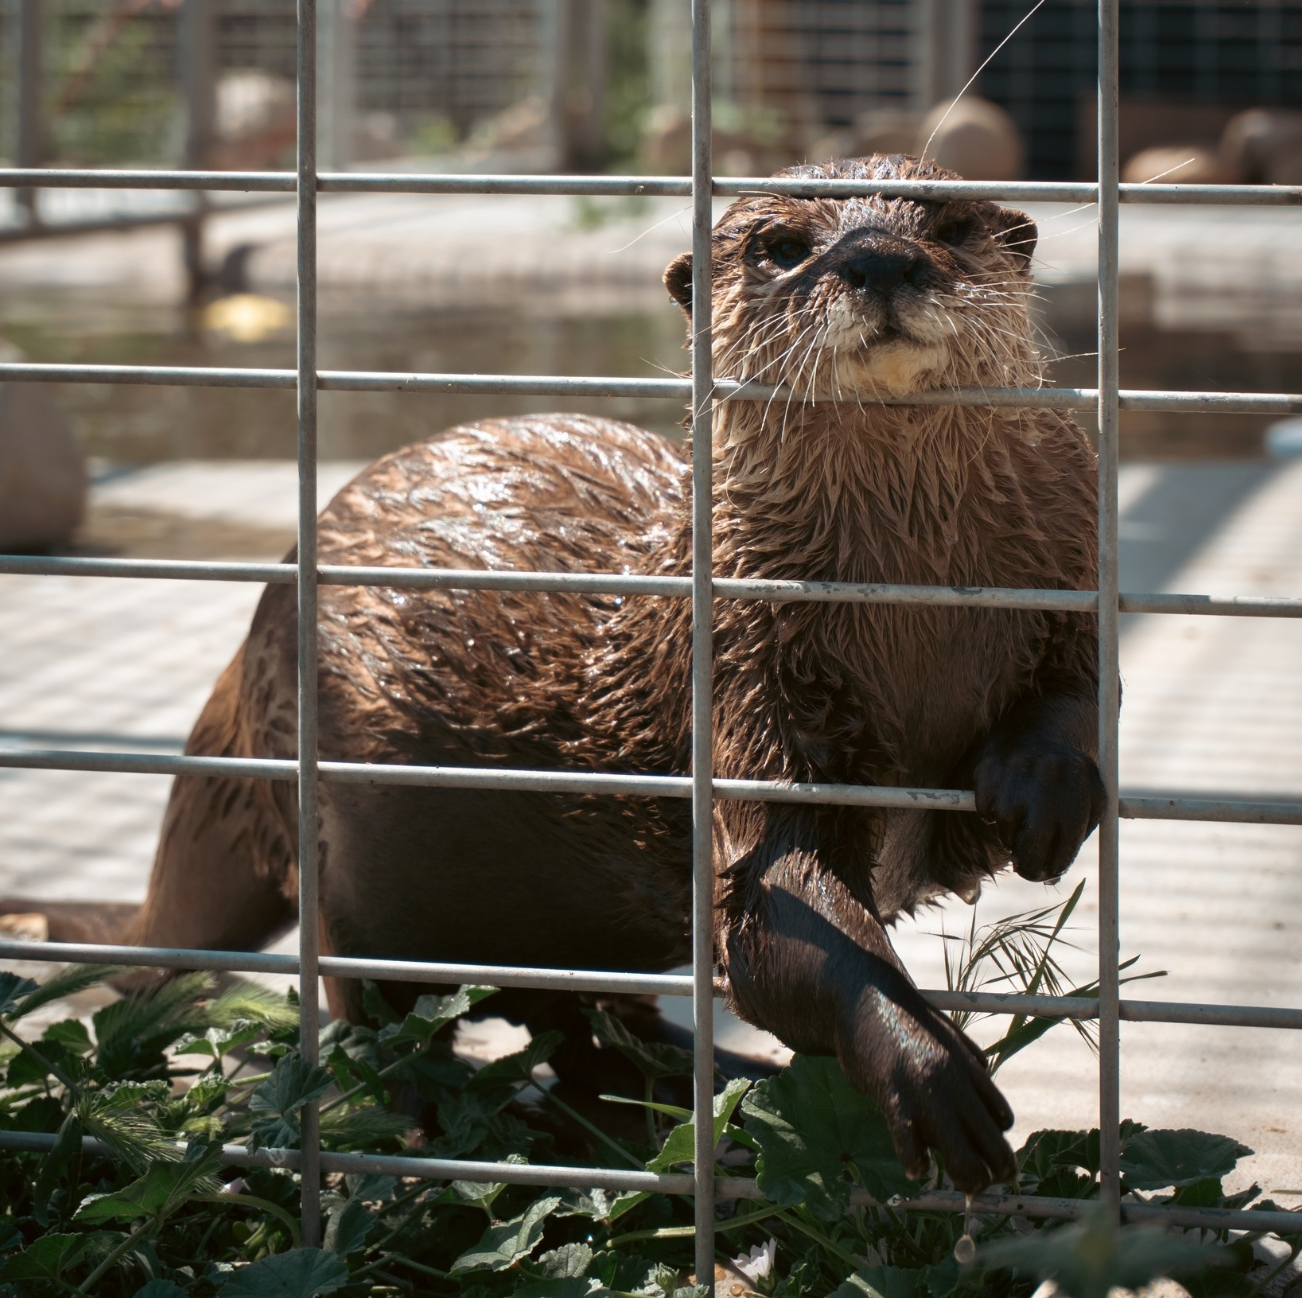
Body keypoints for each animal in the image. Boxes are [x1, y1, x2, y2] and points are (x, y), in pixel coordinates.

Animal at [3, 156, 1104, 1193]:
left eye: (950, 222)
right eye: (782, 246)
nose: (877, 260)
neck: (917, 621)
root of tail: (253, 649)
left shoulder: (1069, 584)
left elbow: (1075, 704)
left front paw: (1042, 781)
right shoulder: (742, 680)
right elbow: (776, 922)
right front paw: (931, 1069)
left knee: (577, 1027)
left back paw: (702, 1076)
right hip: (347, 863)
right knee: (383, 1025)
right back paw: (432, 1124)